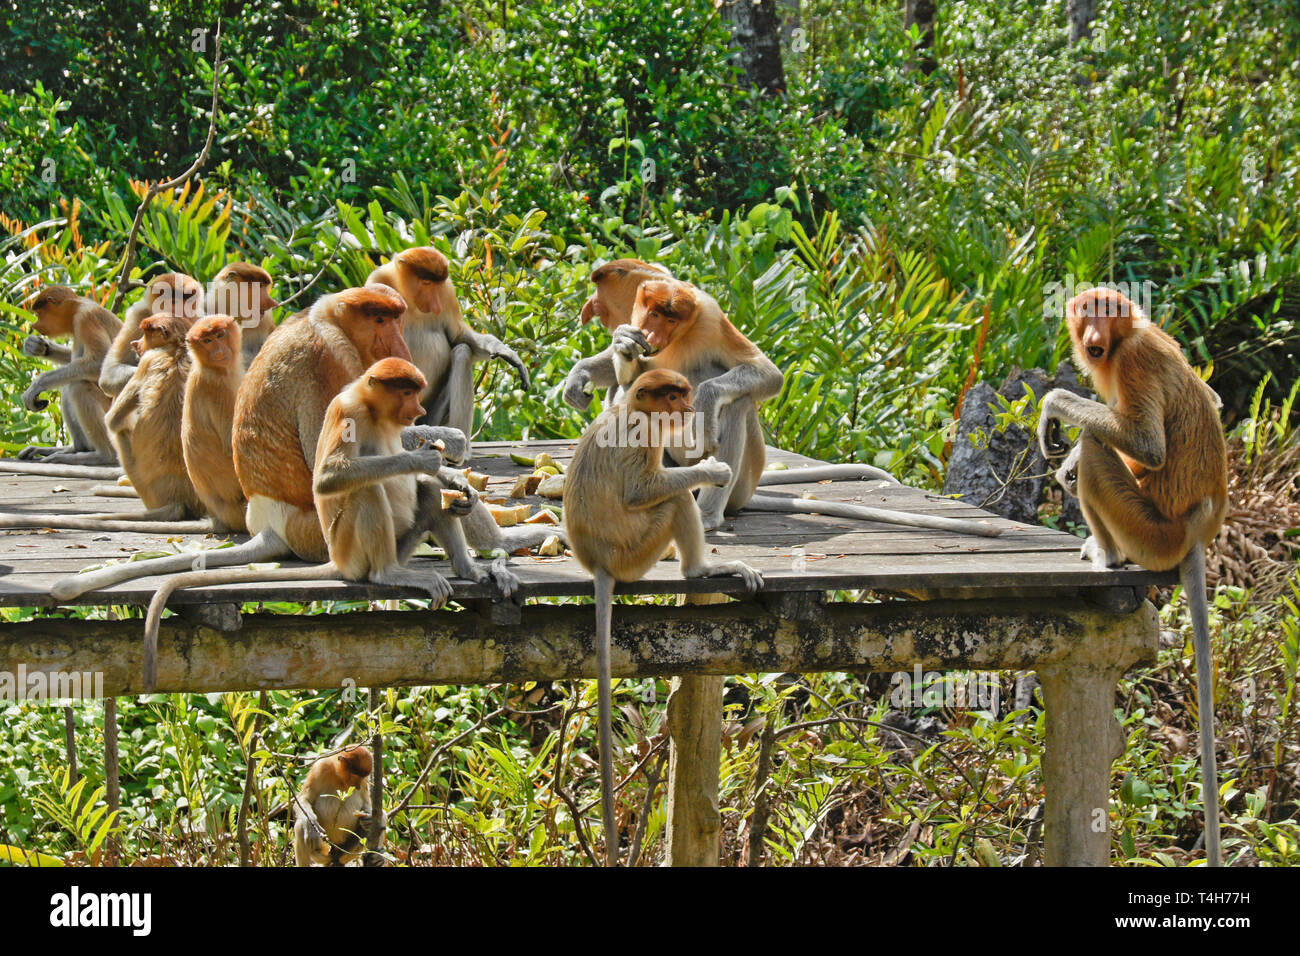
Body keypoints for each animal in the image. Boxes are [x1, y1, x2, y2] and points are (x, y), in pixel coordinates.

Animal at [16, 286, 122, 466]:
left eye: (38, 314)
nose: (34, 324)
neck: (77, 306)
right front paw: (37, 347)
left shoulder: (86, 319)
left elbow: (99, 362)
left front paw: (36, 386)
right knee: (69, 384)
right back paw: (74, 449)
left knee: (78, 386)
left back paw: (103, 455)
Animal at [182, 315, 246, 532]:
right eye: (207, 341)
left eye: (220, 335)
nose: (218, 353)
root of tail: (220, 516)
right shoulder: (218, 391)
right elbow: (232, 447)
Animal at [367, 247, 529, 451]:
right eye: (426, 282)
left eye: (436, 285)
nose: (436, 305)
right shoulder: (377, 281)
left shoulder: (447, 292)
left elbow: (458, 337)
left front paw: (507, 354)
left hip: (432, 415)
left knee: (462, 352)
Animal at [563, 369, 764, 865]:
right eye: (671, 396)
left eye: (683, 393)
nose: (687, 409)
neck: (631, 408)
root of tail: (599, 564)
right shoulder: (641, 436)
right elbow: (642, 491)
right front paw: (713, 470)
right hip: (637, 551)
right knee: (673, 504)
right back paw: (700, 569)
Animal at [1037, 286, 1228, 865]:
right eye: (1087, 312)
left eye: (1106, 313)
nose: (1094, 336)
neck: (1124, 341)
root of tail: (1196, 529)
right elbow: (1213, 399)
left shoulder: (1134, 361)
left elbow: (1147, 446)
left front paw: (1054, 409)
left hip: (1148, 529)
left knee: (1103, 452)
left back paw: (1107, 556)